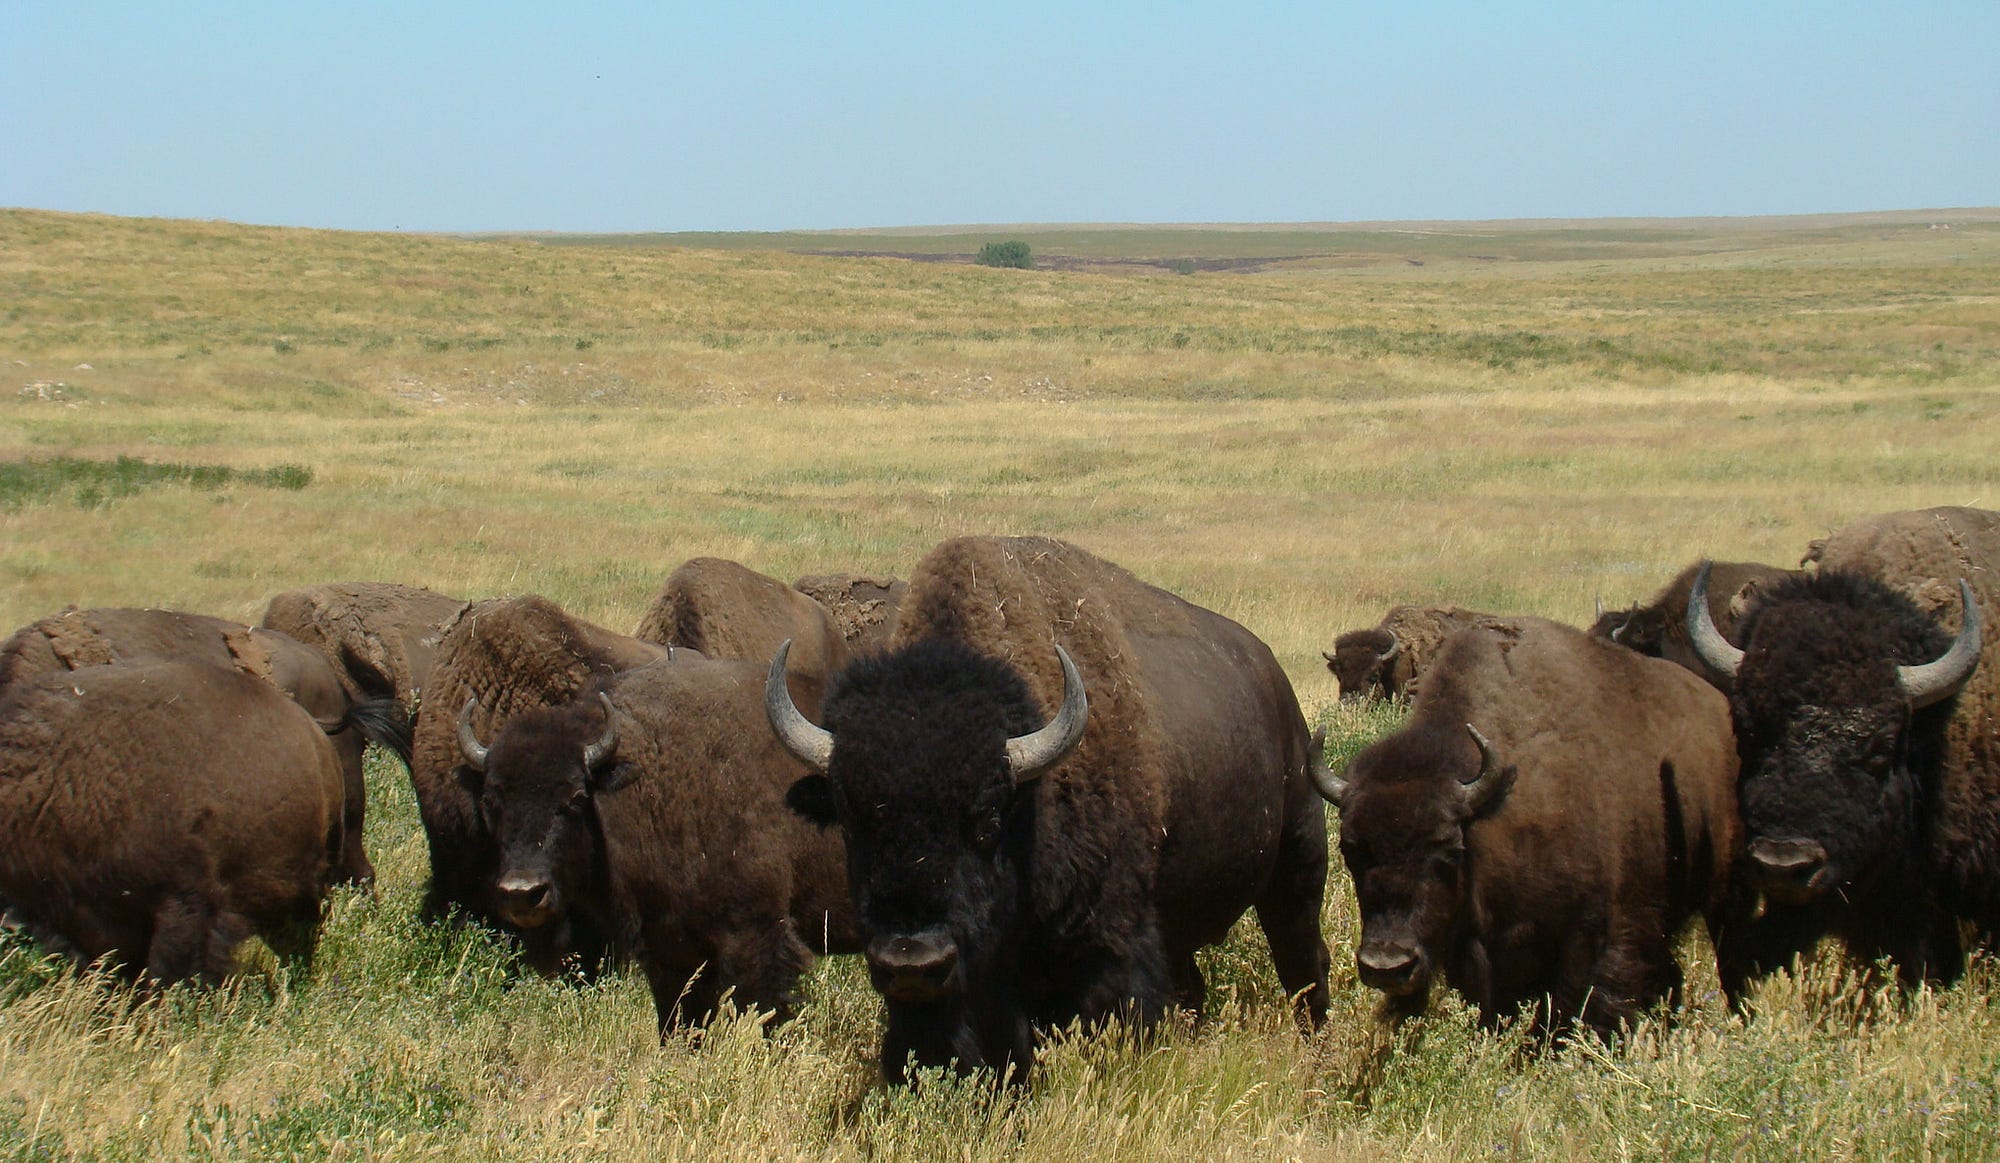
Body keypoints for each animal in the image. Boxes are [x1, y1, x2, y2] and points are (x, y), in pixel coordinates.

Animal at [767, 536, 1332, 1084]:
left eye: (989, 822)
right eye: (852, 823)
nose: (913, 961)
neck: (1032, 804)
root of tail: (1272, 676)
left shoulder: (1108, 952)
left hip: (1298, 865)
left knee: (1303, 962)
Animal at [1314, 617, 1745, 1036]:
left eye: (1449, 851)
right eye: (1350, 849)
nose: (1387, 967)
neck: (1489, 809)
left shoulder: (1588, 936)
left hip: (1721, 897)